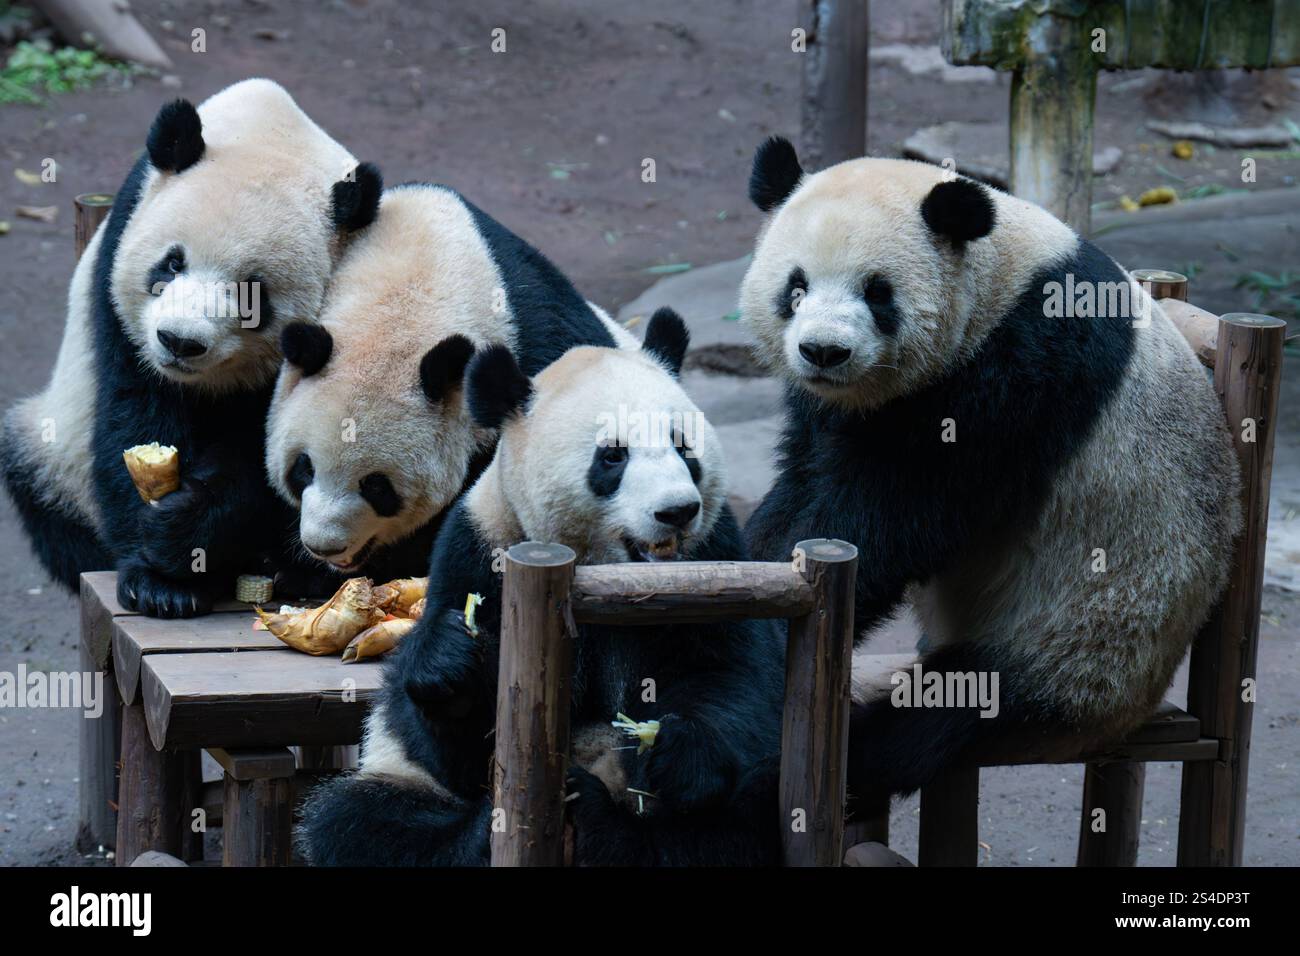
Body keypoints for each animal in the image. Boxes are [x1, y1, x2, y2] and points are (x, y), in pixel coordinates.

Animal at [1, 79, 364, 616]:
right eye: (172, 264)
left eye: (252, 293)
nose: (179, 342)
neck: (269, 131)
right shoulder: (119, 280)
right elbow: (135, 411)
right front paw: (160, 580)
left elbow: (268, 450)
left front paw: (183, 533)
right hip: (56, 451)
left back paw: (298, 570)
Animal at [300, 310, 785, 866]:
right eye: (613, 457)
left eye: (684, 447)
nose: (677, 511)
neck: (604, 568)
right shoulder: (484, 549)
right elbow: (463, 749)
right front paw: (451, 660)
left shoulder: (714, 556)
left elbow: (727, 670)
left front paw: (672, 751)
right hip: (393, 775)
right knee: (356, 820)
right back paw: (490, 832)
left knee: (749, 807)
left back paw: (607, 827)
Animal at [739, 137, 1241, 799]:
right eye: (795, 287)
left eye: (877, 292)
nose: (824, 351)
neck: (1004, 278)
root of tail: (1134, 711)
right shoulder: (831, 405)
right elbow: (802, 482)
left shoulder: (1023, 365)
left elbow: (897, 513)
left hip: (1090, 633)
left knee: (954, 707)